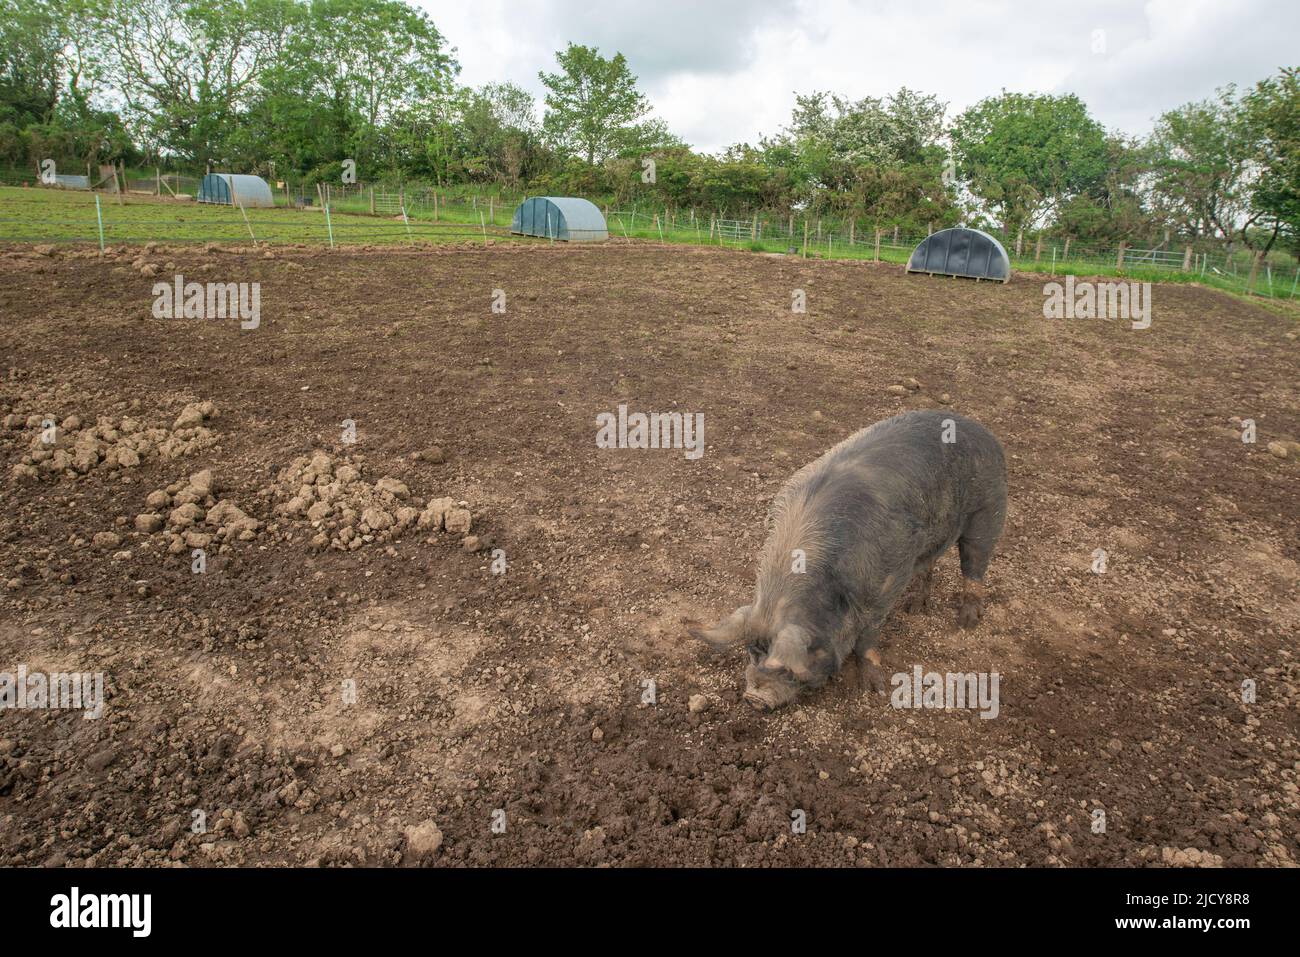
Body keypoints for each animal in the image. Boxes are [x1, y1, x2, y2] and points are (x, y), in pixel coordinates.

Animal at [686, 410, 1007, 711]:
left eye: (789, 671)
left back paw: (967, 622)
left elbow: (867, 638)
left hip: (989, 509)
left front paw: (874, 688)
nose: (754, 698)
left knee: (975, 565)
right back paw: (915, 608)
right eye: (751, 653)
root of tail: (980, 430)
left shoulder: (887, 584)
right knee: (930, 564)